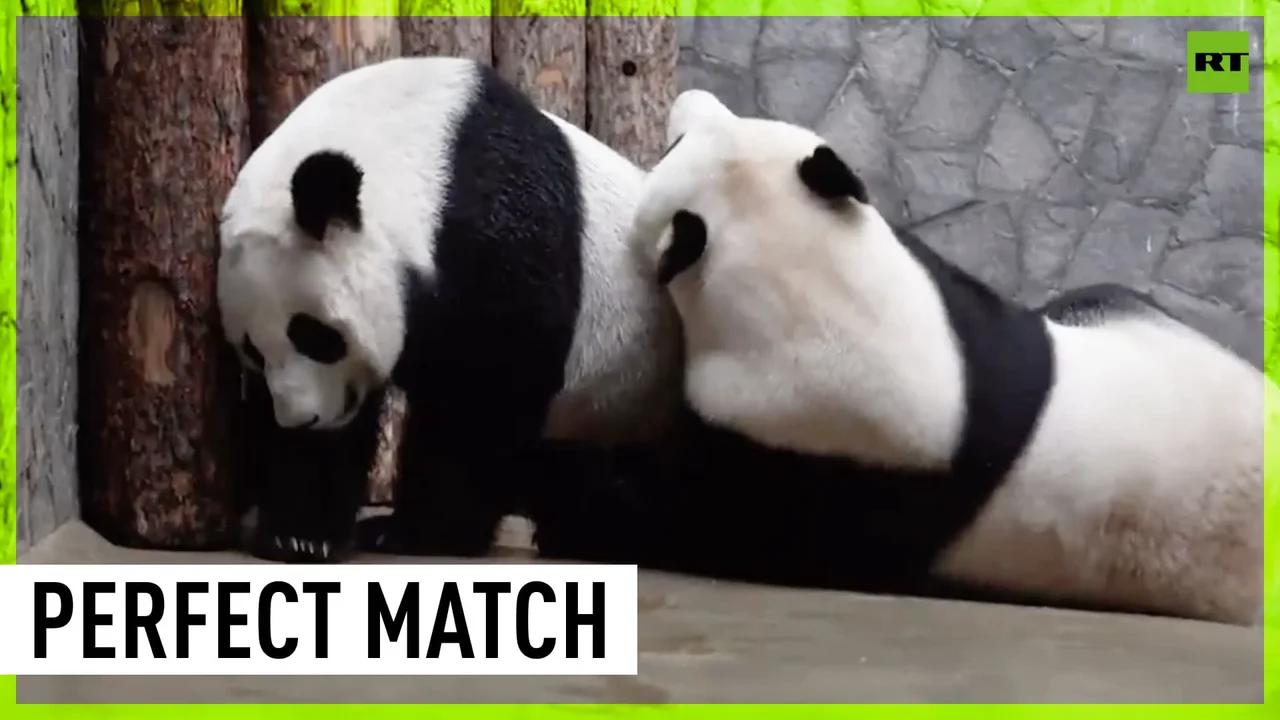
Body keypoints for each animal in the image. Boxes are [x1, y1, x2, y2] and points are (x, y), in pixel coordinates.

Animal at [216, 56, 683, 563]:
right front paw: (300, 534)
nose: (303, 419)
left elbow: (481, 396)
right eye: (253, 352)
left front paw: (416, 532)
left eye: (316, 336)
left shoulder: (499, 234)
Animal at [522, 89, 1270, 626]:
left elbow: (681, 514)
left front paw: (560, 488)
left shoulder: (812, 462)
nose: (685, 100)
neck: (816, 295)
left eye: (677, 144)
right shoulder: (962, 313)